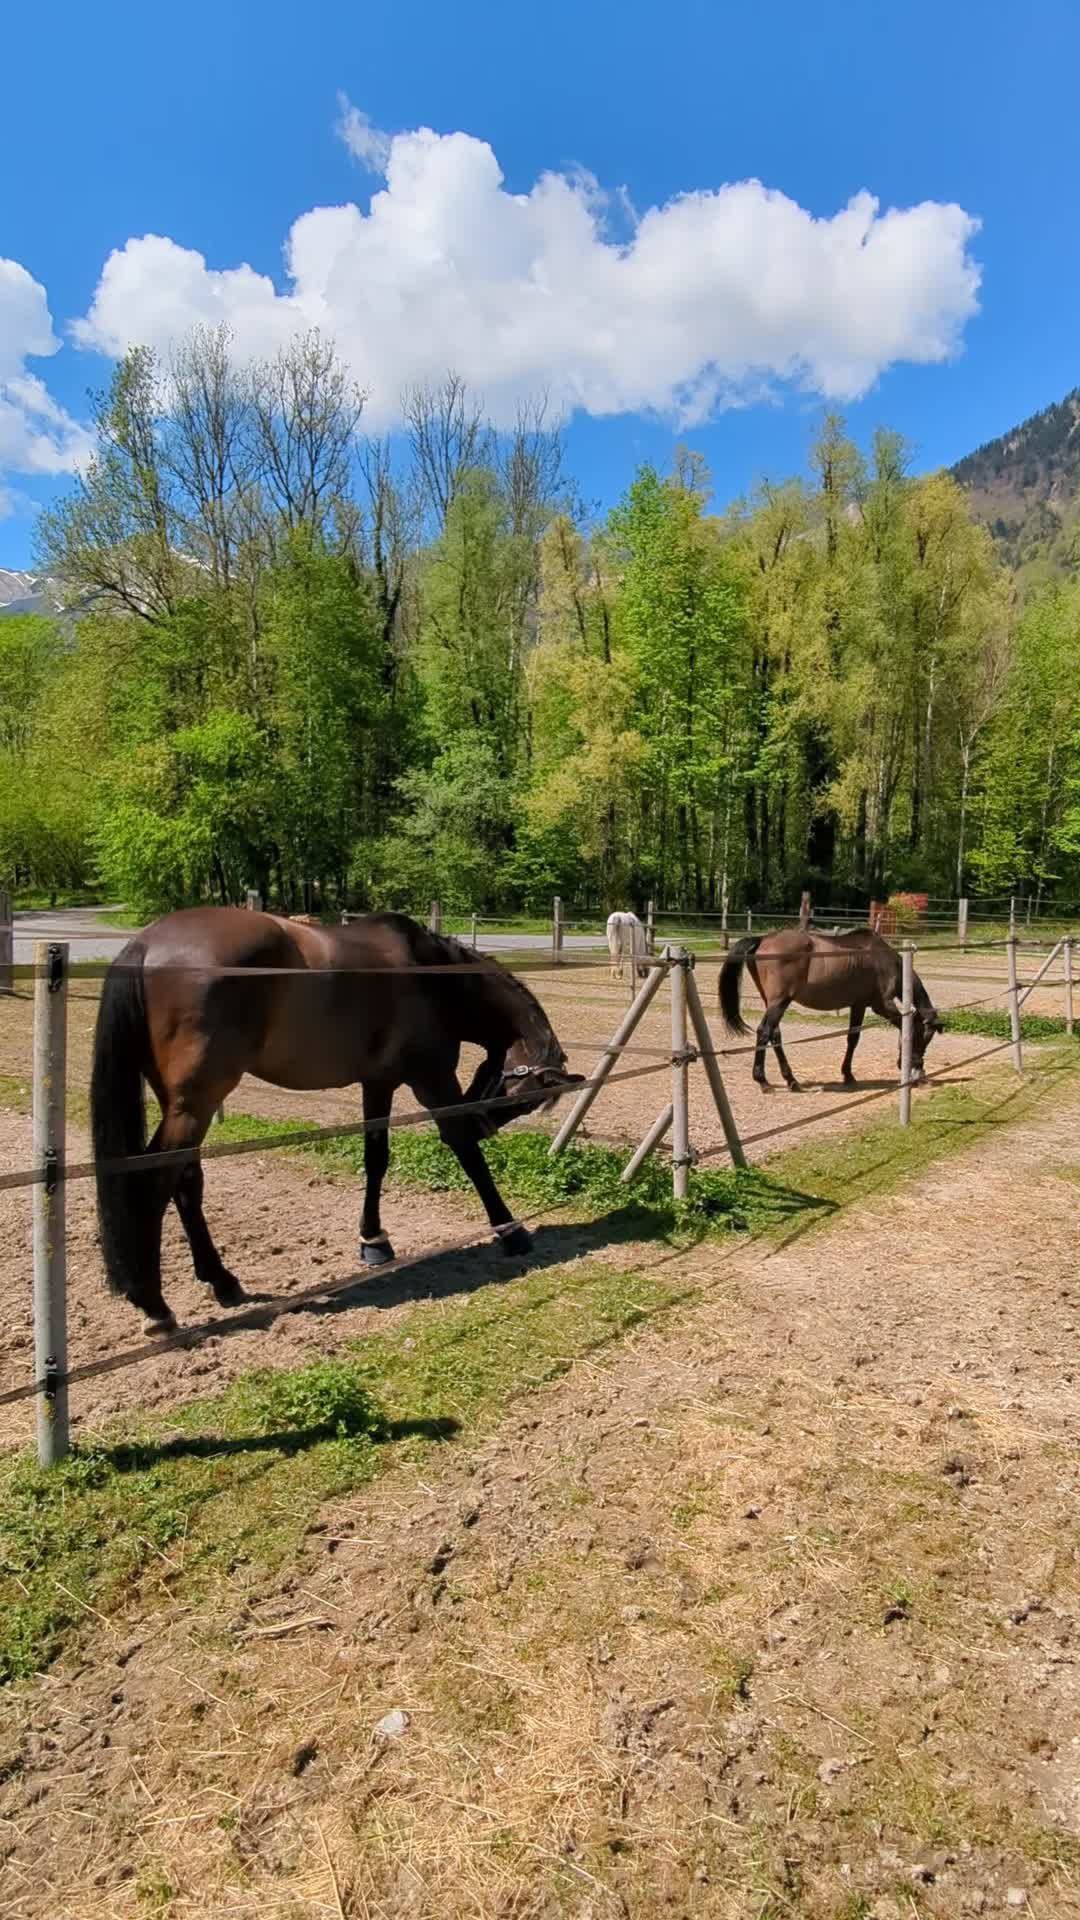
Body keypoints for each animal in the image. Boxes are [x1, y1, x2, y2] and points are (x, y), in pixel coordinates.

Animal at [90, 908, 584, 1333]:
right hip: (196, 1103)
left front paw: (374, 1241)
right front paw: (510, 1230)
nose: (486, 1123)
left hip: (184, 1105)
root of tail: (146, 944)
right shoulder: (432, 1079)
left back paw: (221, 1280)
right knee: (157, 1181)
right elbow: (465, 1149)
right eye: (526, 1101)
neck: (433, 974)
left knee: (186, 1180)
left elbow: (376, 1158)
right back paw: (154, 1304)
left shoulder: (378, 1083)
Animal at [718, 926, 942, 1092]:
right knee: (764, 1032)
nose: (919, 1069)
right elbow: (903, 1027)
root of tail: (763, 939)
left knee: (774, 1034)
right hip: (779, 1002)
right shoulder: (883, 1006)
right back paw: (763, 1081)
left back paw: (791, 1080)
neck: (884, 960)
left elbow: (853, 1038)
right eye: (925, 1037)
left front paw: (848, 1075)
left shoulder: (859, 1005)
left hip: (773, 1002)